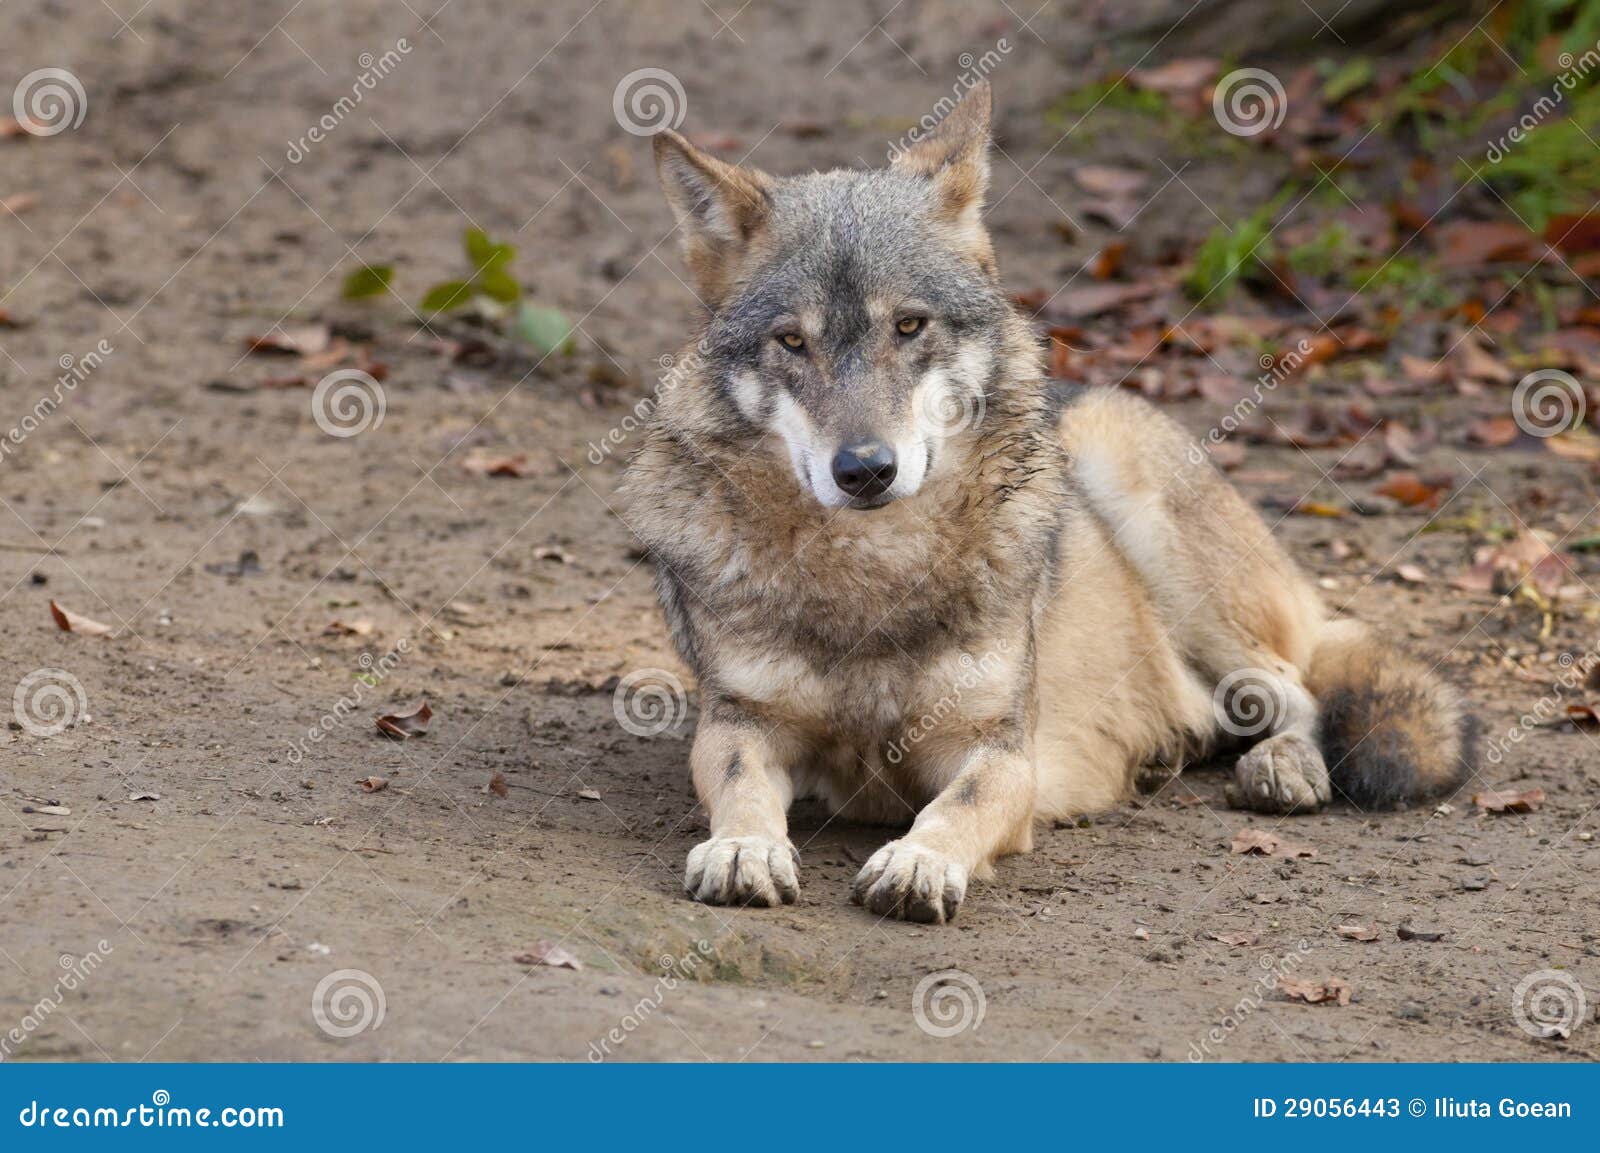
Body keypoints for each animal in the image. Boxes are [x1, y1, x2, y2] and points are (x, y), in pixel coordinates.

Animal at [623, 81, 1474, 923]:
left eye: (909, 326)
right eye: (792, 341)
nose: (865, 469)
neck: (872, 572)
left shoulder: (1000, 748)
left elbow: (959, 806)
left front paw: (918, 862)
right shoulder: (741, 723)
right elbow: (740, 786)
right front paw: (743, 849)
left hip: (1139, 503)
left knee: (1296, 687)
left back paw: (1282, 765)